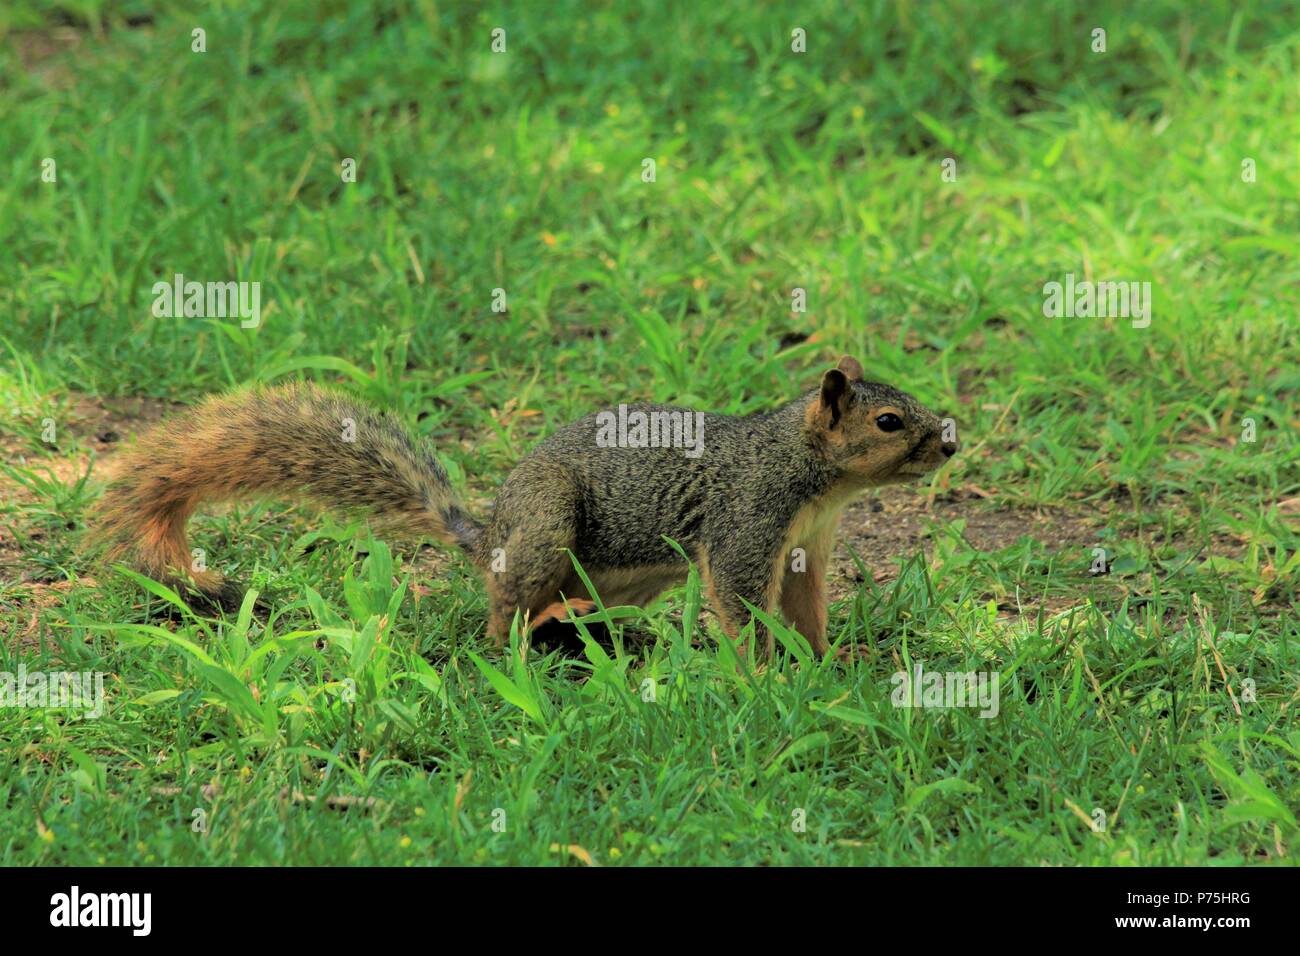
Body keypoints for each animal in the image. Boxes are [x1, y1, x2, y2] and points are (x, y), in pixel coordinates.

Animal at [90, 355, 956, 655]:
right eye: (889, 421)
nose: (948, 443)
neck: (811, 475)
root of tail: (490, 535)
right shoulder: (750, 517)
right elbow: (742, 601)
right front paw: (766, 677)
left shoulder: (808, 542)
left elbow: (806, 606)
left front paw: (826, 662)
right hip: (547, 524)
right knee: (502, 607)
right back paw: (513, 648)